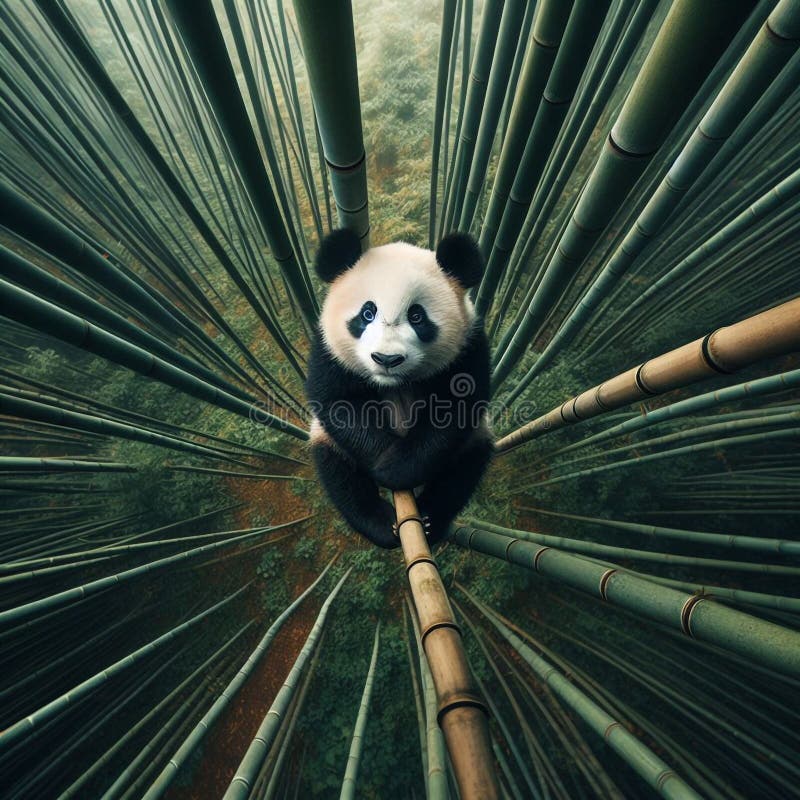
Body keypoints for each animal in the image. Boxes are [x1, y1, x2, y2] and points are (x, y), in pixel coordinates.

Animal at [306, 228, 493, 549]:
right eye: (367, 313)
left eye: (417, 316)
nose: (386, 359)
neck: (395, 383)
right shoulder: (328, 350)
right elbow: (338, 401)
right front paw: (382, 463)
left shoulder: (468, 347)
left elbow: (456, 409)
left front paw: (395, 471)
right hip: (325, 439)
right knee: (338, 472)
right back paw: (381, 524)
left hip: (475, 439)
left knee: (462, 470)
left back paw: (429, 519)